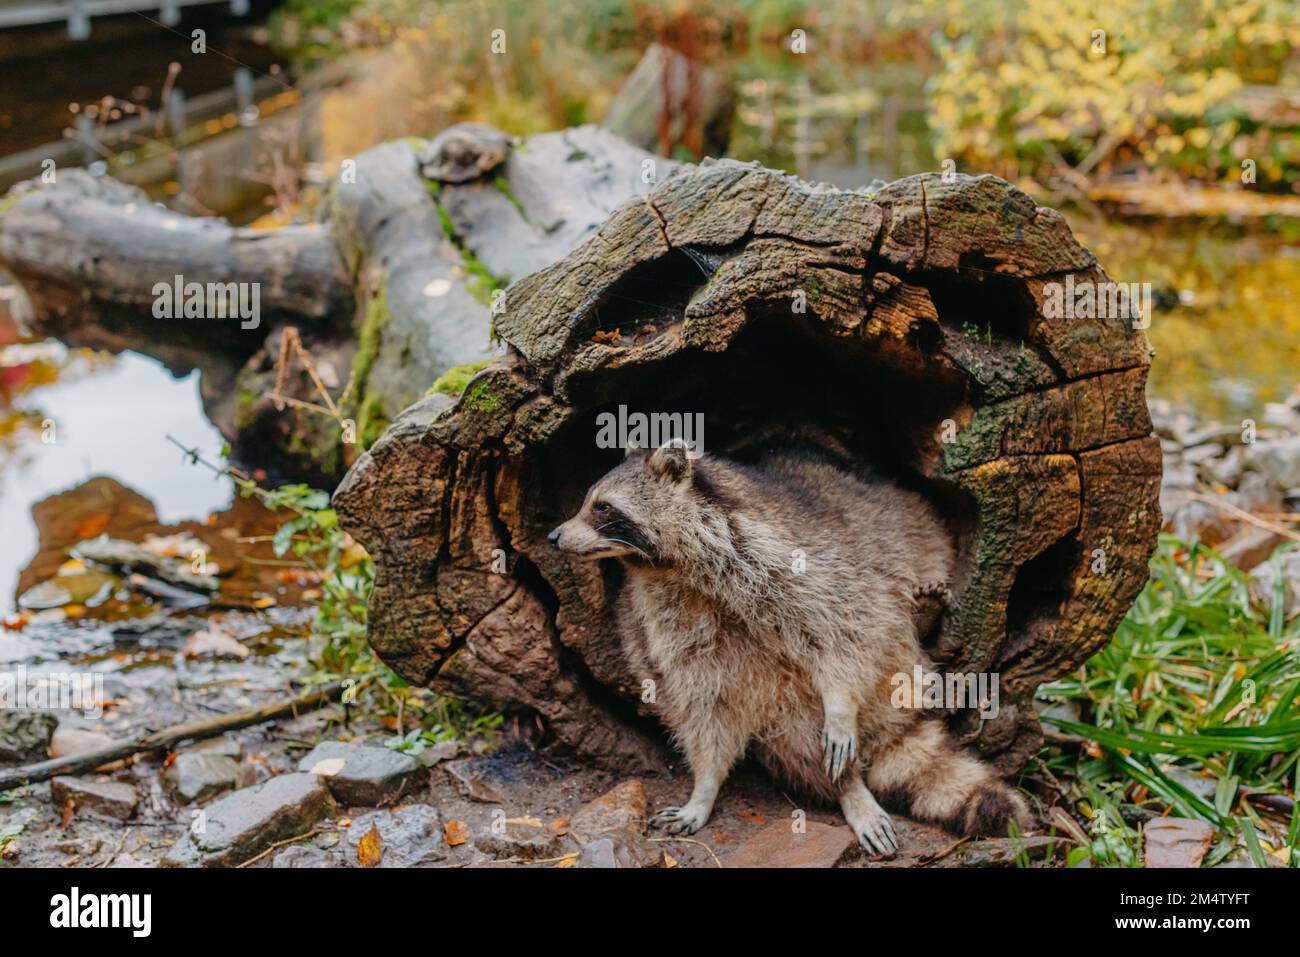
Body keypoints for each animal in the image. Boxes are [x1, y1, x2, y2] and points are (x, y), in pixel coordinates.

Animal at [548, 439, 1030, 854]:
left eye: (602, 507)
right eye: (588, 499)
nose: (553, 536)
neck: (674, 567)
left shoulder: (794, 557)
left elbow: (848, 627)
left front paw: (839, 705)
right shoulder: (659, 618)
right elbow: (701, 704)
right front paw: (705, 786)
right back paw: (848, 788)